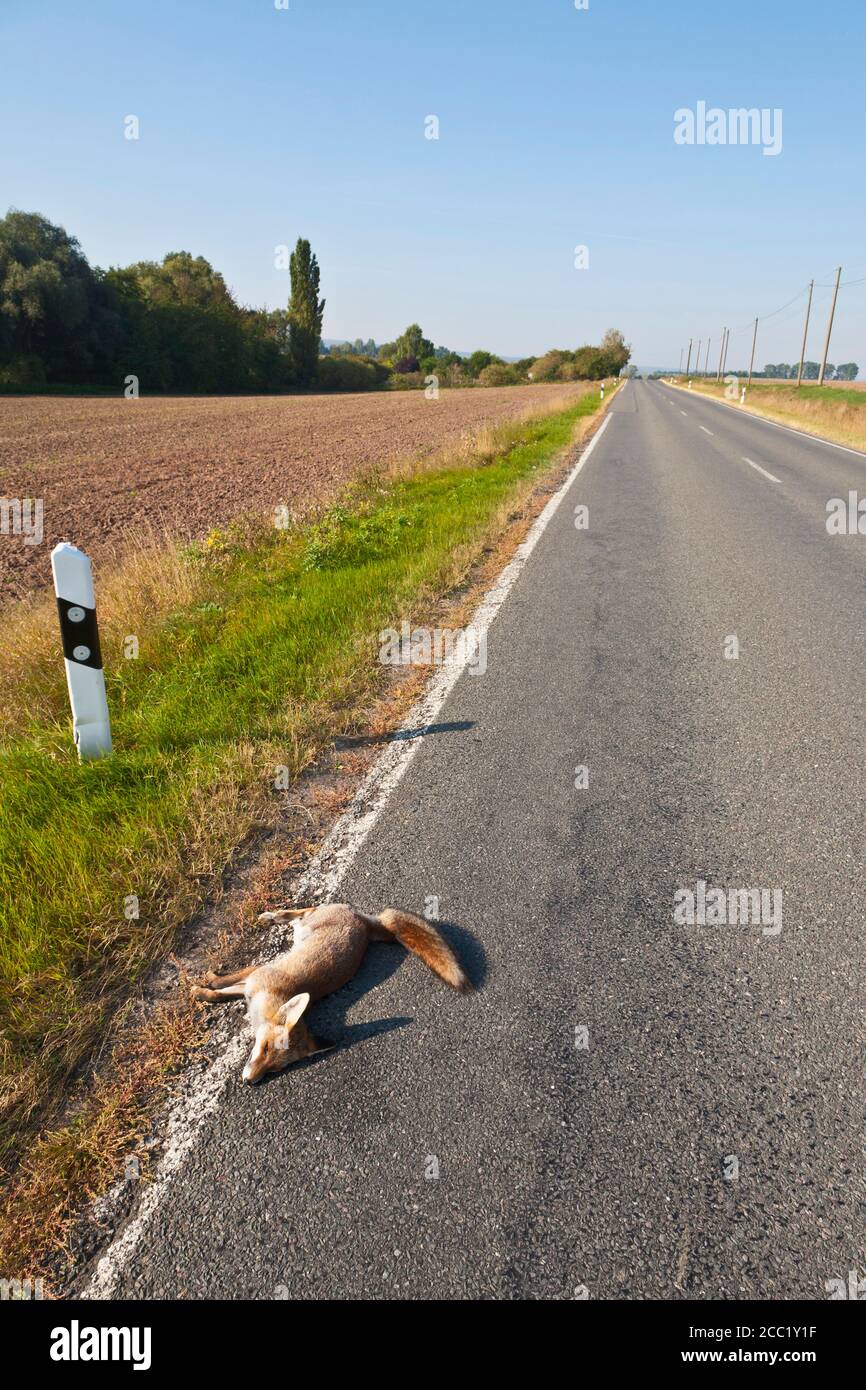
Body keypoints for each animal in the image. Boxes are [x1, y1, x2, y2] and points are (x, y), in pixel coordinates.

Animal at [192, 903, 471, 1083]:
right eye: (267, 1048)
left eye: (274, 1069)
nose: (249, 1081)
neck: (272, 996)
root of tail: (366, 925)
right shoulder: (254, 975)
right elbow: (222, 987)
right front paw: (206, 983)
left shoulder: (252, 982)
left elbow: (221, 992)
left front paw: (202, 988)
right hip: (311, 921)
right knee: (304, 910)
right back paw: (273, 915)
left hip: (309, 925)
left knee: (301, 914)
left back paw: (275, 916)